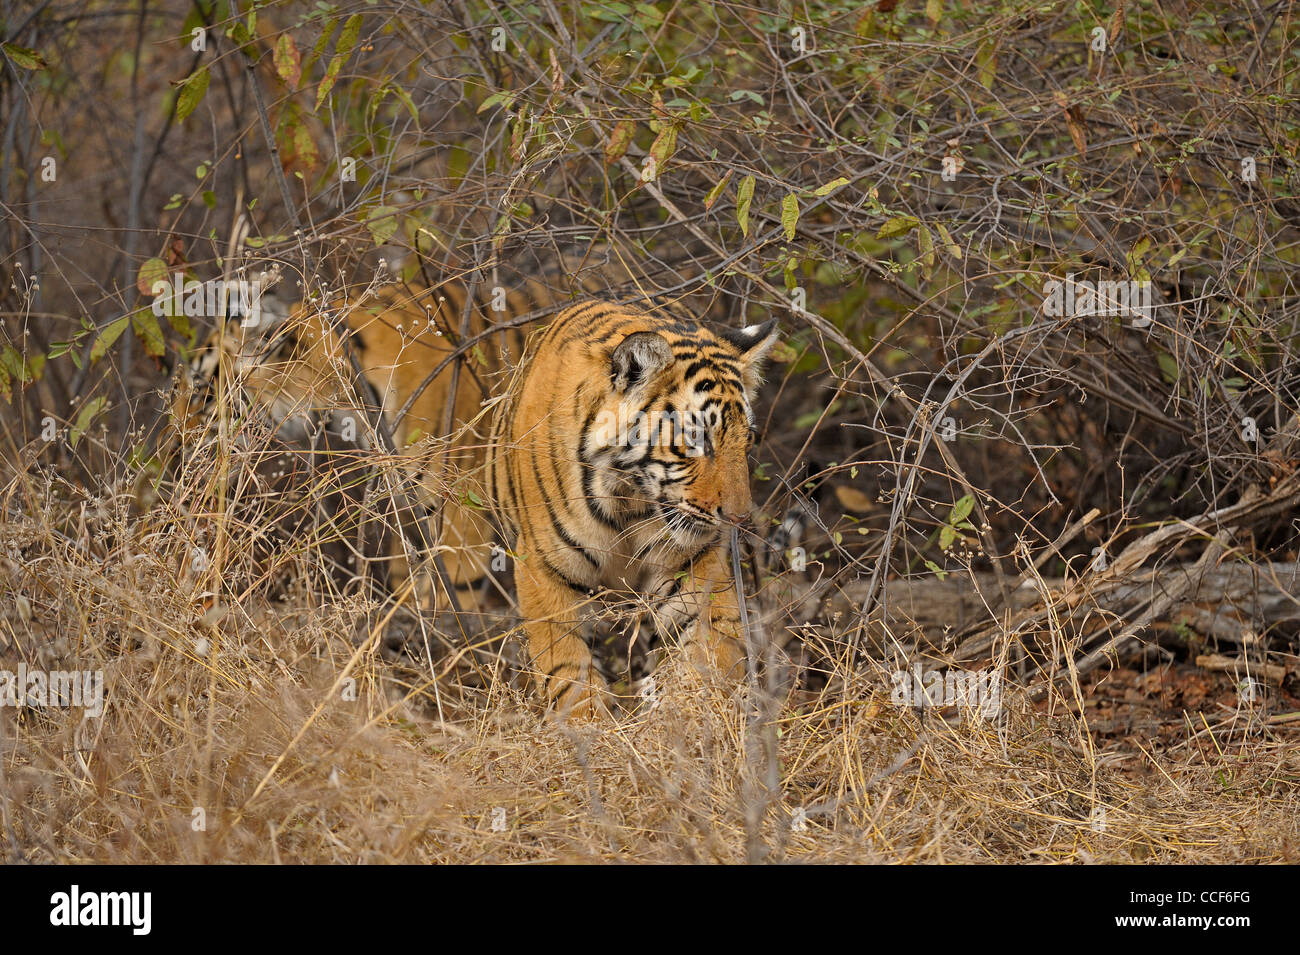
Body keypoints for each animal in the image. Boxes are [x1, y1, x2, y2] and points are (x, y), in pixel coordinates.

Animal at [168, 276, 778, 718]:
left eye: (743, 442)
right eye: (694, 442)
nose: (175, 444)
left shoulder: (691, 556)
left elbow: (712, 647)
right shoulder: (529, 560)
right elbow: (565, 672)